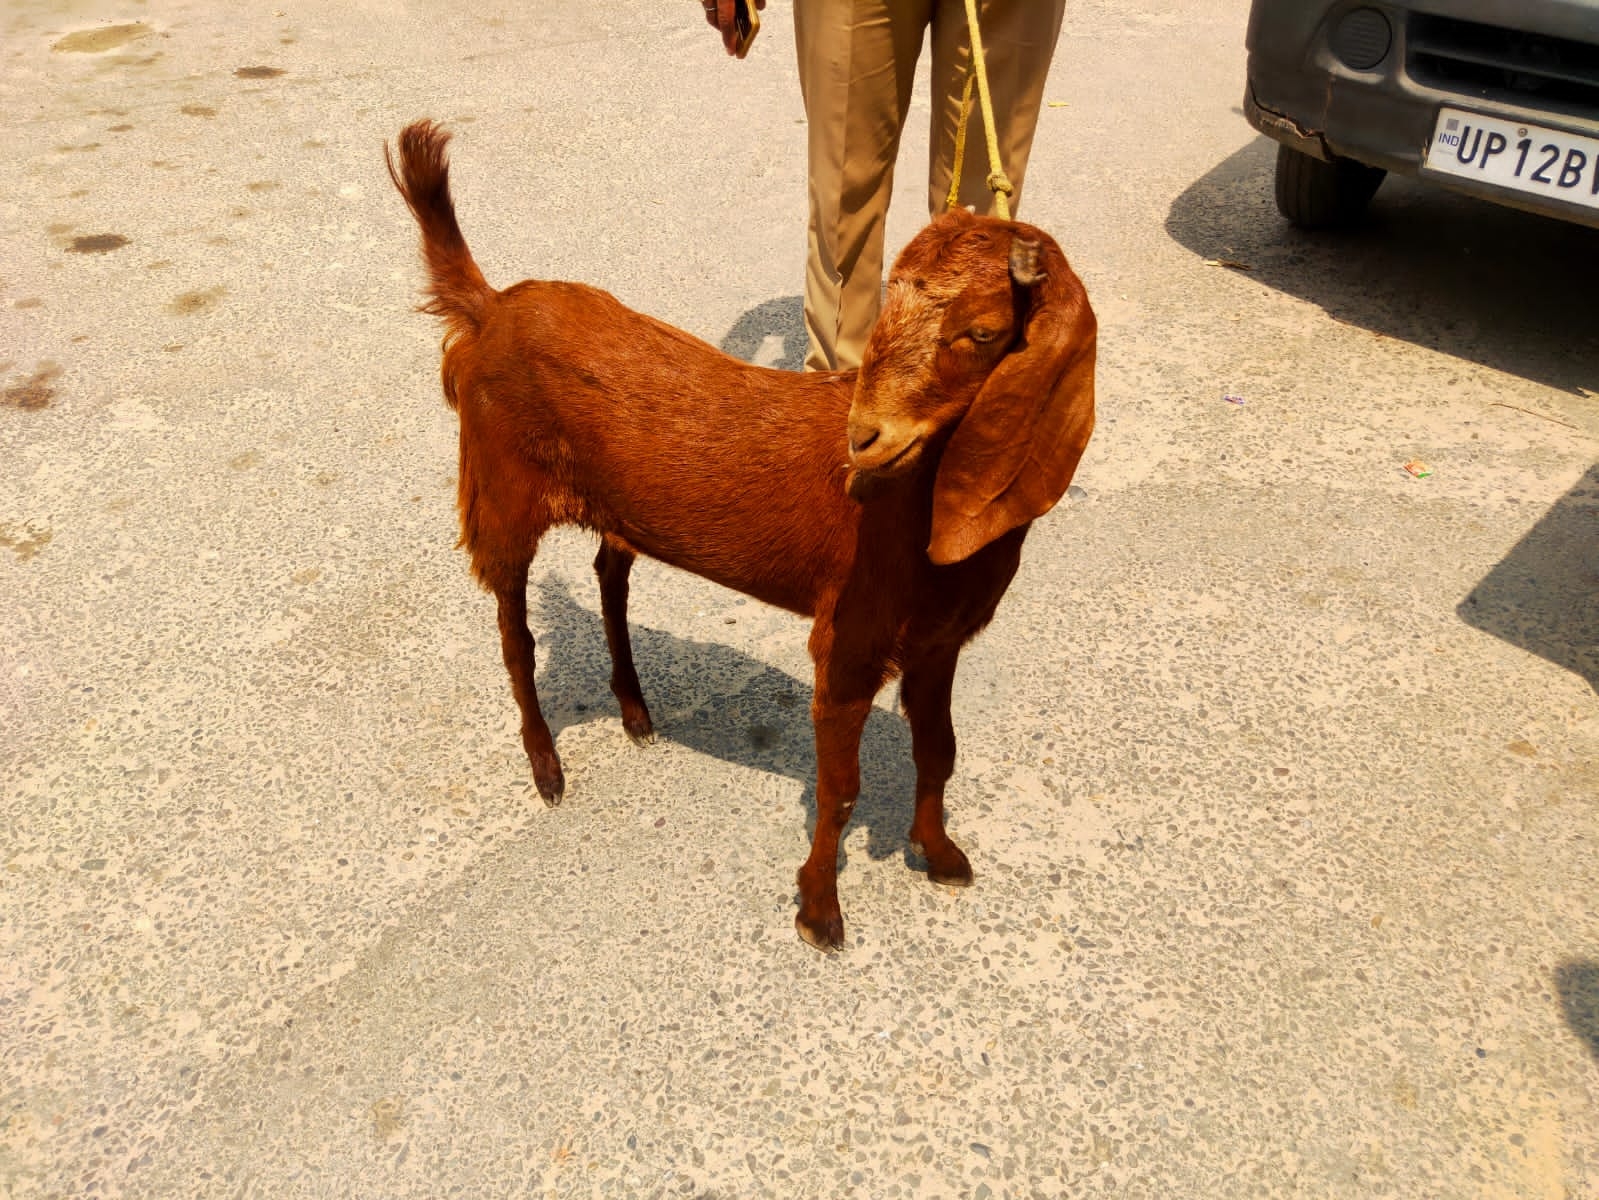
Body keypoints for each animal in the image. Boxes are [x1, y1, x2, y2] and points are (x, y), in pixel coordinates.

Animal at [386, 120, 1096, 951]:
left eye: (983, 332)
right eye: (886, 306)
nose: (860, 437)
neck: (922, 510)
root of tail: (491, 307)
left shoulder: (937, 638)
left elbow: (938, 750)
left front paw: (939, 852)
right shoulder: (849, 638)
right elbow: (840, 786)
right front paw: (818, 909)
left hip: (613, 507)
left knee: (608, 577)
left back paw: (635, 711)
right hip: (499, 491)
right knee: (516, 632)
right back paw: (546, 766)